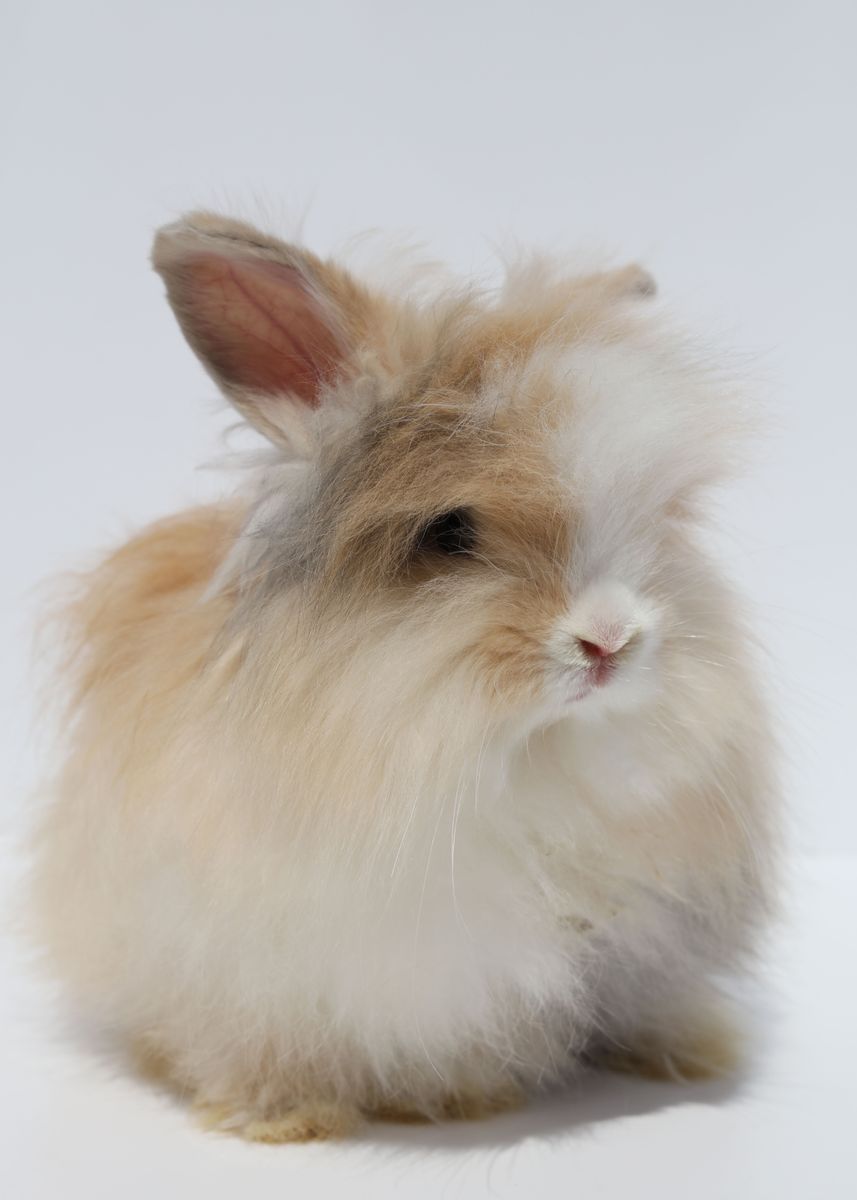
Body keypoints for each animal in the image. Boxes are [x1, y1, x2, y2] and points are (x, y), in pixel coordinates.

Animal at [28, 212, 779, 1143]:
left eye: (657, 520)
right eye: (449, 533)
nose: (610, 640)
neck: (515, 753)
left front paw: (464, 1096)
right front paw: (298, 1116)